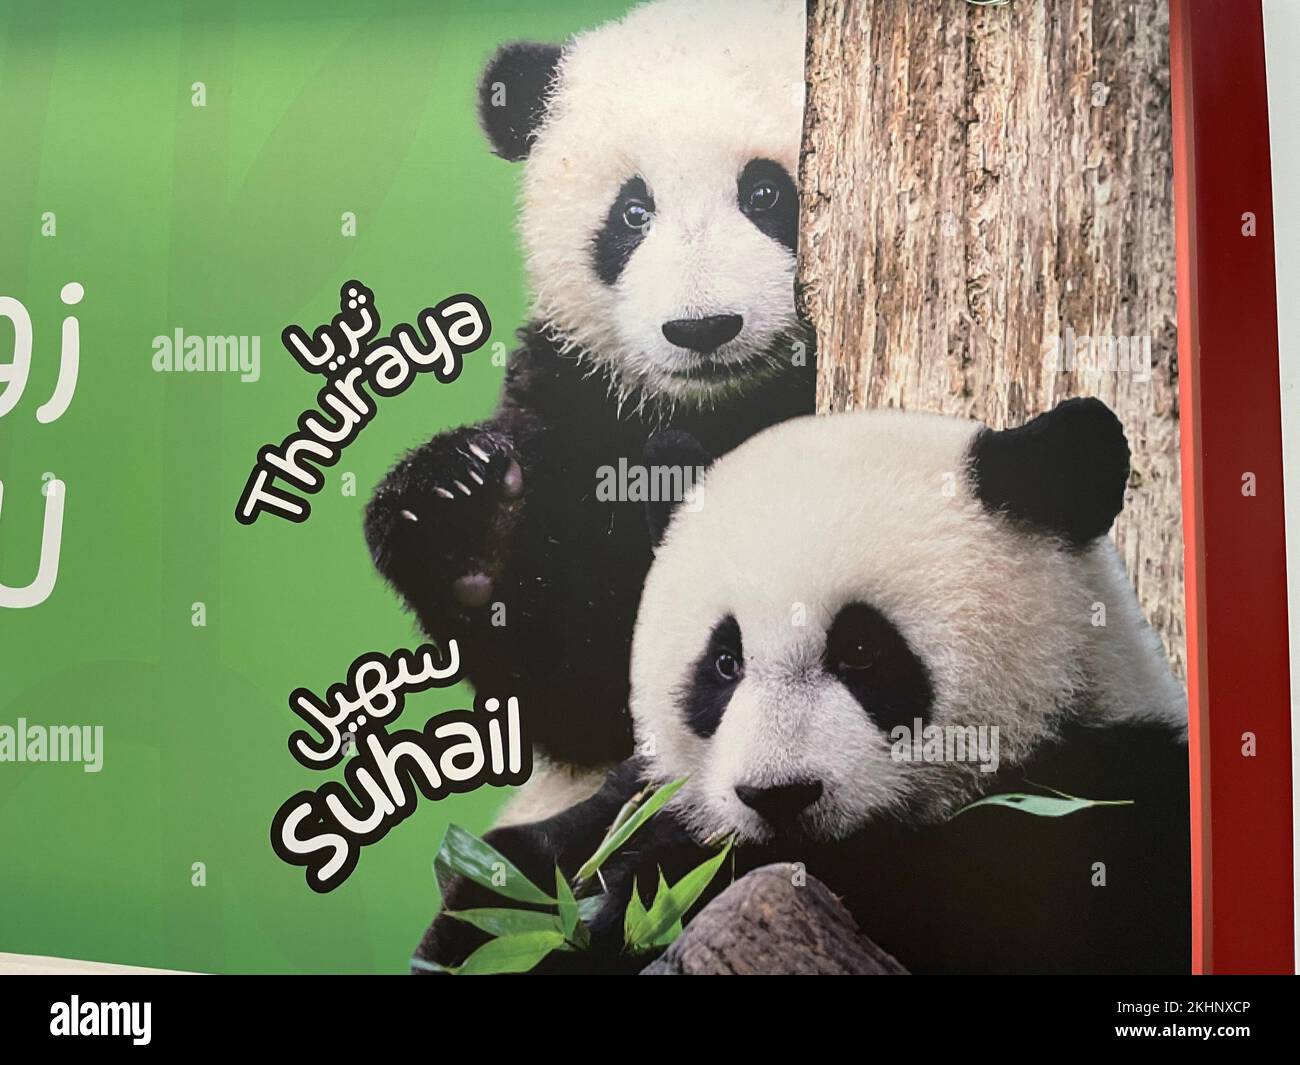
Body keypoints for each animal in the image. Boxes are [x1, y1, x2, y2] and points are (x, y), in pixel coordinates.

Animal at [364, 0, 813, 820]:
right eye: (632, 213)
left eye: (765, 194)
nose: (703, 328)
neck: (723, 403)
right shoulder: (577, 398)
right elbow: (578, 694)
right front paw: (458, 512)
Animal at [417, 398, 1191, 974]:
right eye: (725, 662)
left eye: (862, 652)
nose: (778, 796)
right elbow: (512, 886)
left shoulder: (1110, 799)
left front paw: (659, 880)